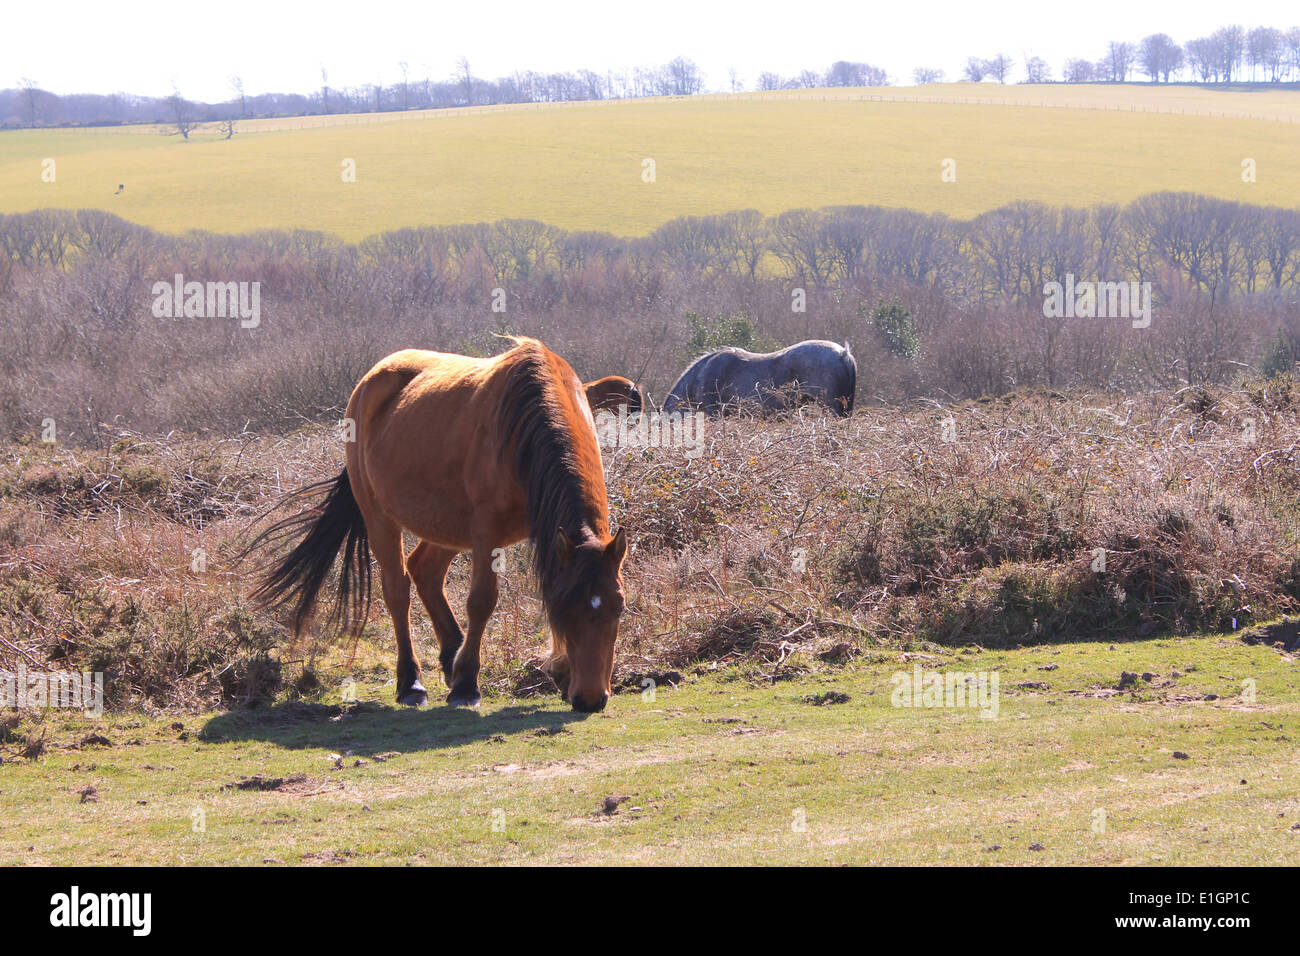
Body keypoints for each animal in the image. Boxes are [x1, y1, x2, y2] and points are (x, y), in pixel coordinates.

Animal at [249, 337, 628, 712]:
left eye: (619, 608)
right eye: (568, 608)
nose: (591, 699)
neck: (525, 421)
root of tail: (370, 382)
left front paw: (558, 673)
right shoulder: (486, 532)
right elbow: (481, 601)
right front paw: (467, 684)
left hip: (447, 527)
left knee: (425, 570)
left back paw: (451, 656)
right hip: (380, 517)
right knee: (398, 589)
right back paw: (411, 681)